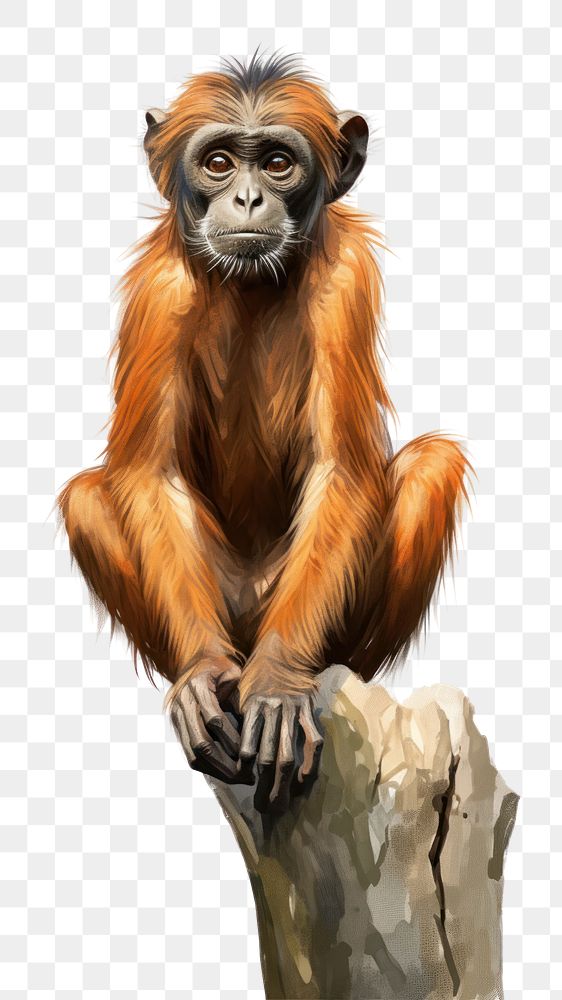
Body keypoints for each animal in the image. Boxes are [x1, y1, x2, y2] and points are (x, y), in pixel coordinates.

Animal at [57, 51, 471, 814]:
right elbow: (147, 474)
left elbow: (343, 468)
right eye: (219, 161)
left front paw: (278, 684)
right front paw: (199, 672)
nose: (248, 199)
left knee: (432, 463)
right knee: (87, 497)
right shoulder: (159, 290)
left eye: (277, 162)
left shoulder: (348, 280)